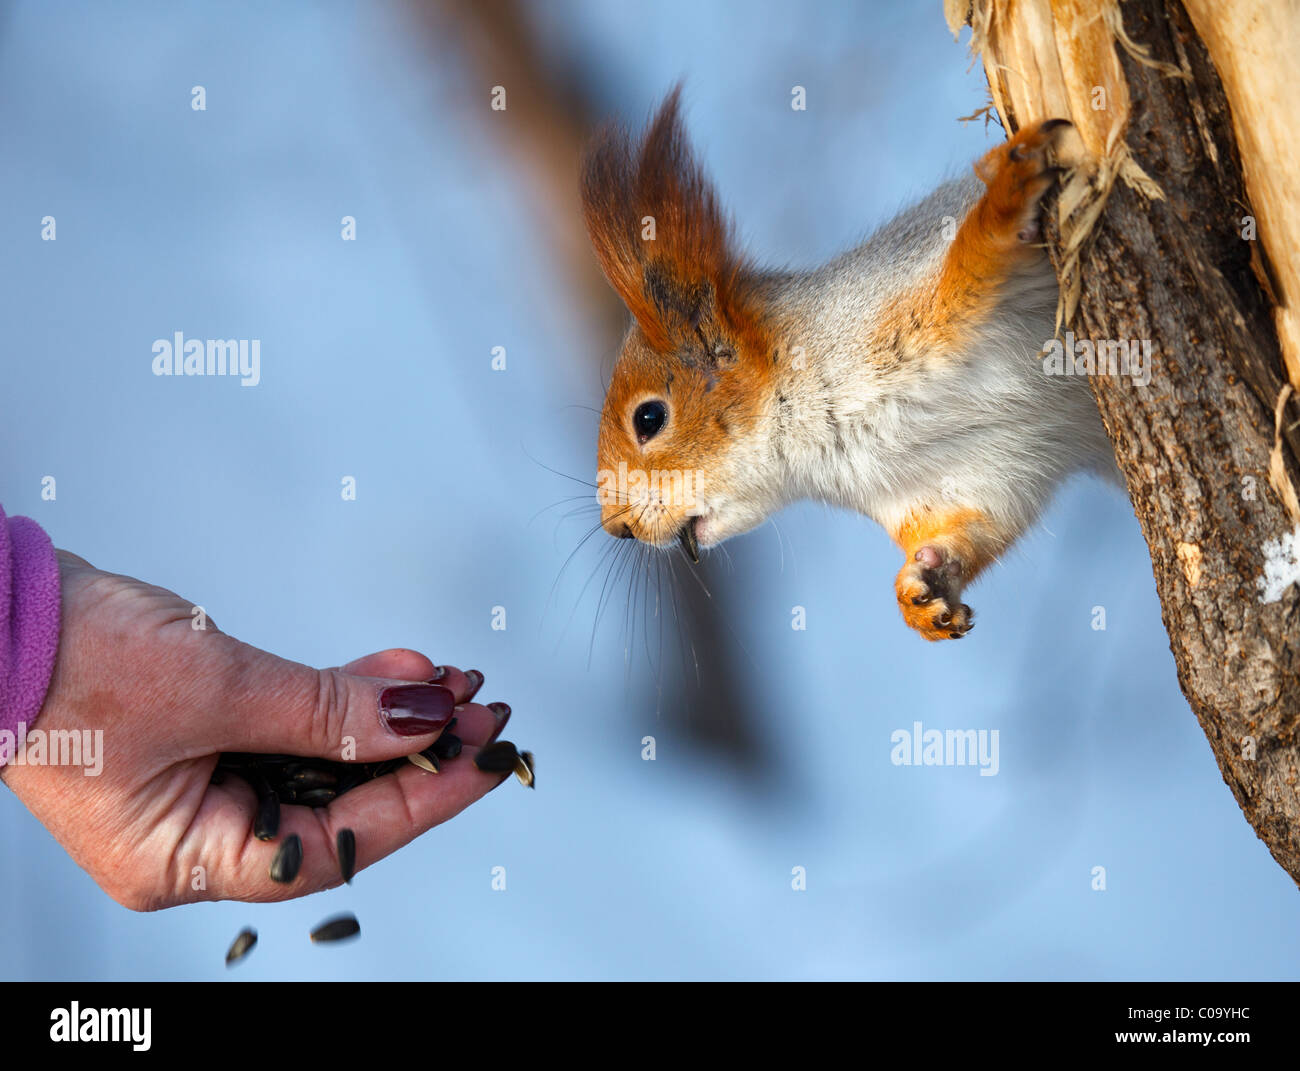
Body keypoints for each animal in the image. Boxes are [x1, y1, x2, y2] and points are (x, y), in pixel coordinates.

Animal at [582, 89, 1118, 641]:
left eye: (649, 418)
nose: (617, 527)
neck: (823, 441)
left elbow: (980, 257)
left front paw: (1008, 198)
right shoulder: (977, 475)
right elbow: (974, 528)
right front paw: (918, 596)